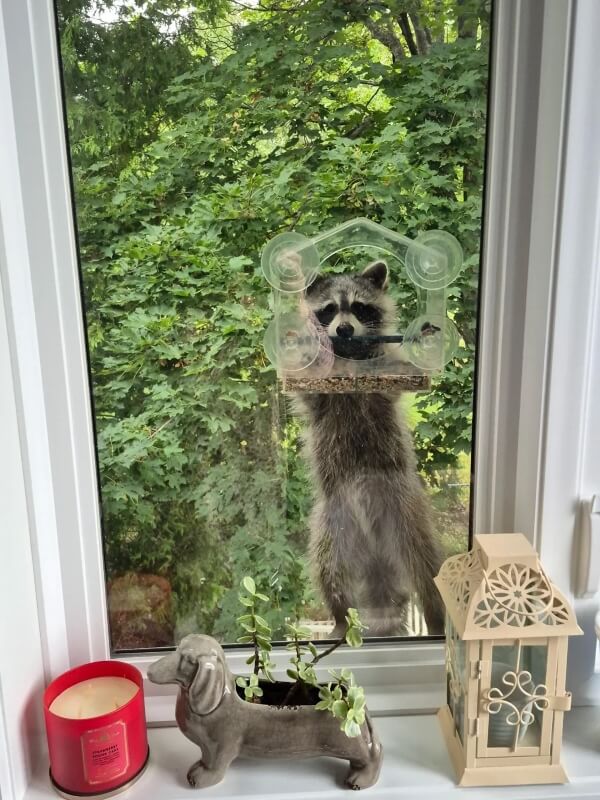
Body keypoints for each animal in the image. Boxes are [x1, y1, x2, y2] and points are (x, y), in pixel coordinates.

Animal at [296, 260, 445, 637]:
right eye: (329, 309)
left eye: (360, 307)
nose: (345, 330)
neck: (350, 356)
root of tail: (374, 544)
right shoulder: (317, 396)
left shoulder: (386, 374)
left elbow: (403, 374)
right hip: (332, 526)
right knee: (329, 572)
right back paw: (339, 619)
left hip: (406, 514)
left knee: (427, 571)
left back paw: (436, 618)